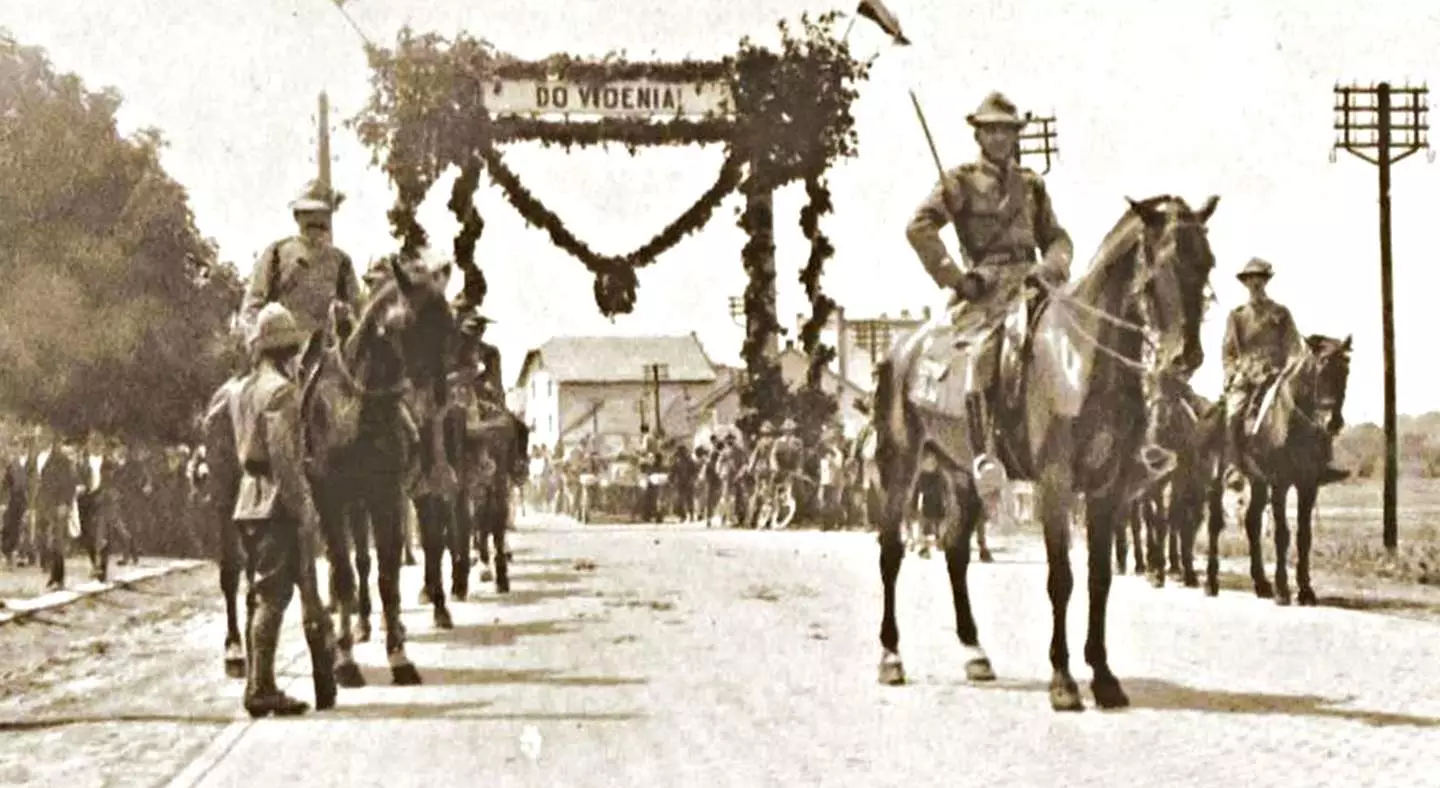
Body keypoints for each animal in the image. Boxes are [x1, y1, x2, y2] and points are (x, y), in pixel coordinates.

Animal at [306, 257, 457, 685]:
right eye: (412, 324)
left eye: (449, 326)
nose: (436, 398)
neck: (353, 409)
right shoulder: (331, 499)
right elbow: (343, 573)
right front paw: (344, 660)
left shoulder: (386, 495)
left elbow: (389, 576)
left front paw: (399, 657)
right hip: (354, 505)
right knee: (358, 563)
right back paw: (361, 625)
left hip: (417, 494)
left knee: (432, 545)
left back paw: (434, 608)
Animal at [1203, 332, 1347, 605]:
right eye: (1321, 368)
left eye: (1346, 370)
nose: (1333, 422)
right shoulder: (1280, 482)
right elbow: (1282, 533)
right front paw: (1283, 589)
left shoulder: (1308, 485)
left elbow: (1304, 536)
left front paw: (1305, 590)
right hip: (1219, 479)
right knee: (1215, 524)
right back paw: (1210, 582)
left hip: (1258, 482)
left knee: (1252, 522)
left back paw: (1260, 584)